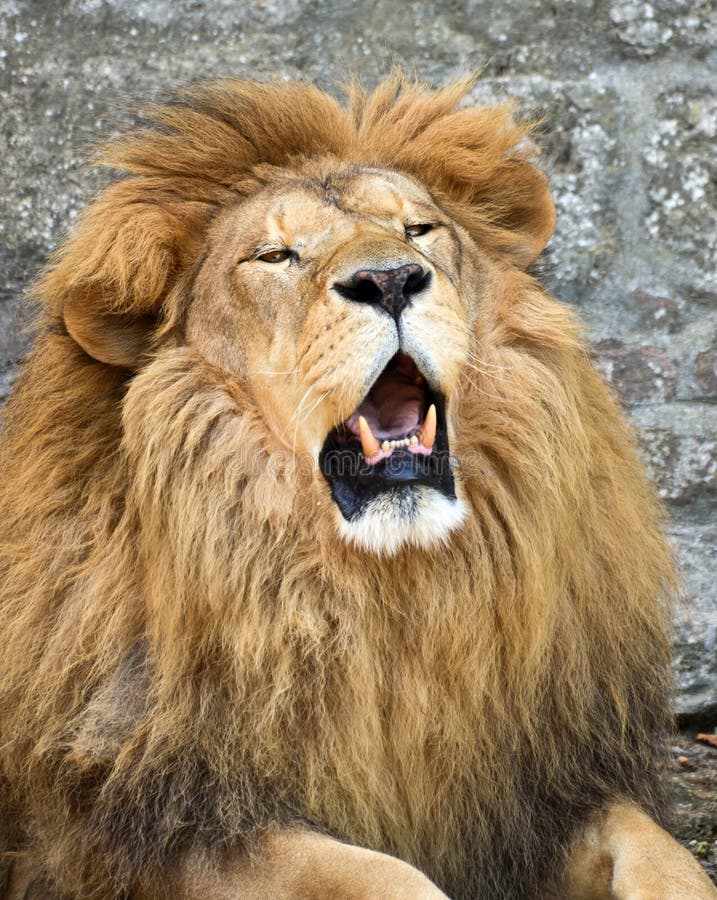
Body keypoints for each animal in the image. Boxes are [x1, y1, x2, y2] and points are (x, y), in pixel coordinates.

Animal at [0, 74, 714, 900]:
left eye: (419, 229)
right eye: (275, 255)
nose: (389, 279)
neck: (384, 598)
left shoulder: (541, 794)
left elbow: (663, 856)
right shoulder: (165, 830)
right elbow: (382, 876)